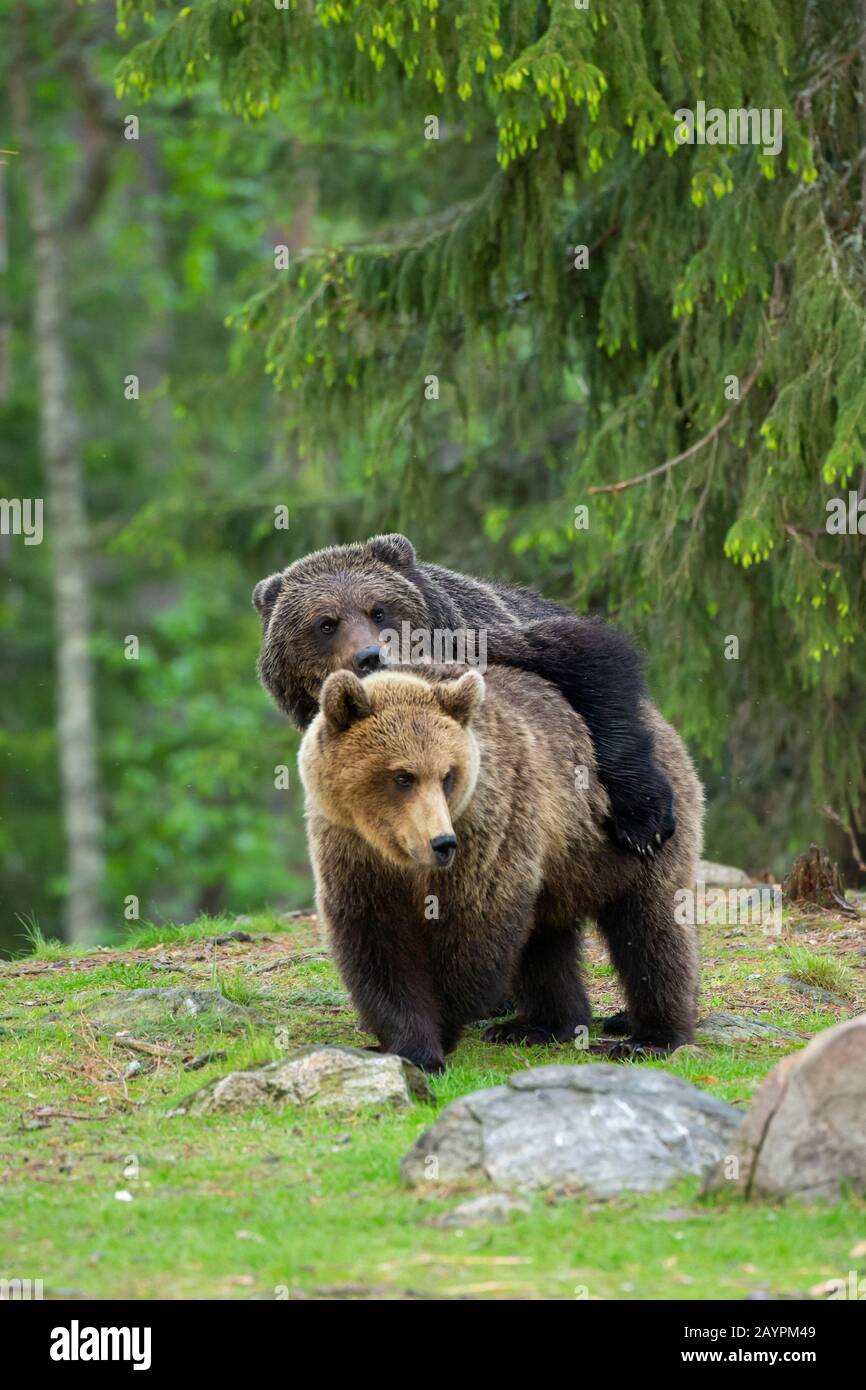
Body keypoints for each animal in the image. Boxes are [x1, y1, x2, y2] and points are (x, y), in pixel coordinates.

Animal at [254, 533, 676, 859]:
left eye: (378, 609)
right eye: (326, 623)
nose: (370, 656)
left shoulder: (485, 639)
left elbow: (594, 660)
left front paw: (644, 822)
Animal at [298, 661, 703, 1073]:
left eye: (447, 774)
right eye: (402, 776)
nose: (442, 843)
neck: (400, 856)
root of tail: (661, 722)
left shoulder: (487, 829)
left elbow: (473, 931)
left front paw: (439, 1032)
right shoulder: (353, 853)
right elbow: (377, 946)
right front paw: (407, 1045)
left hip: (627, 840)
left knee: (650, 930)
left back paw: (651, 1037)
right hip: (558, 866)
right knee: (544, 943)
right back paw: (540, 1025)